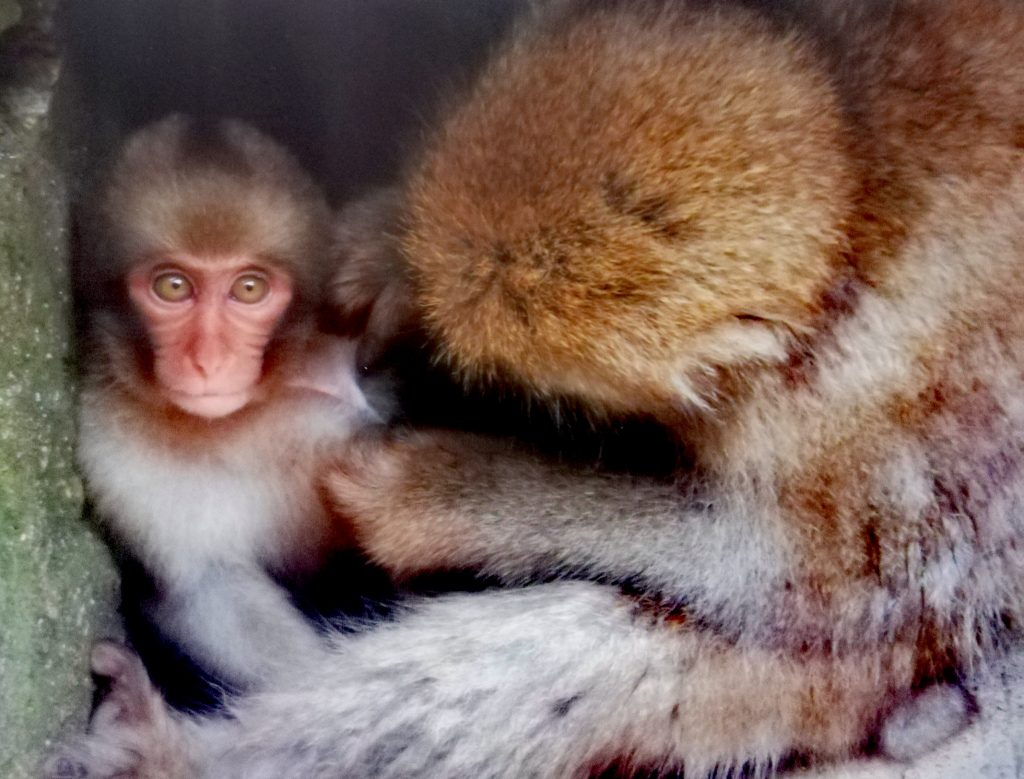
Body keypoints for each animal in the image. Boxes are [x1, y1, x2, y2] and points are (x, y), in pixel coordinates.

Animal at [70, 114, 391, 695]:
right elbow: (208, 591)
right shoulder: (108, 449)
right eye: (173, 287)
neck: (247, 413)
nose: (209, 362)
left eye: (249, 289)